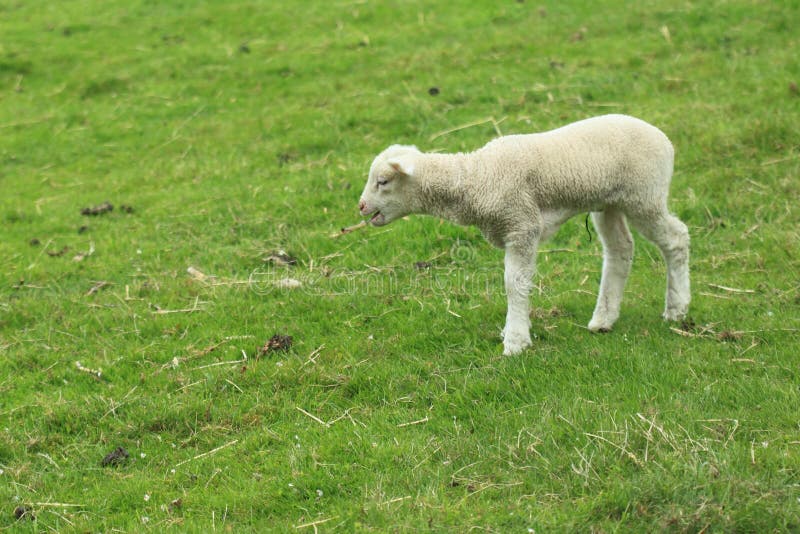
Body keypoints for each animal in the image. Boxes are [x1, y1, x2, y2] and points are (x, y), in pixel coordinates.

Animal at [358, 114, 690, 355]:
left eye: (383, 181)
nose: (360, 206)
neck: (476, 178)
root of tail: (664, 140)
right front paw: (513, 332)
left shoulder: (521, 225)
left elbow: (513, 284)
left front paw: (516, 341)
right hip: (609, 204)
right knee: (621, 250)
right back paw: (603, 319)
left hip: (644, 196)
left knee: (676, 238)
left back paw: (677, 308)